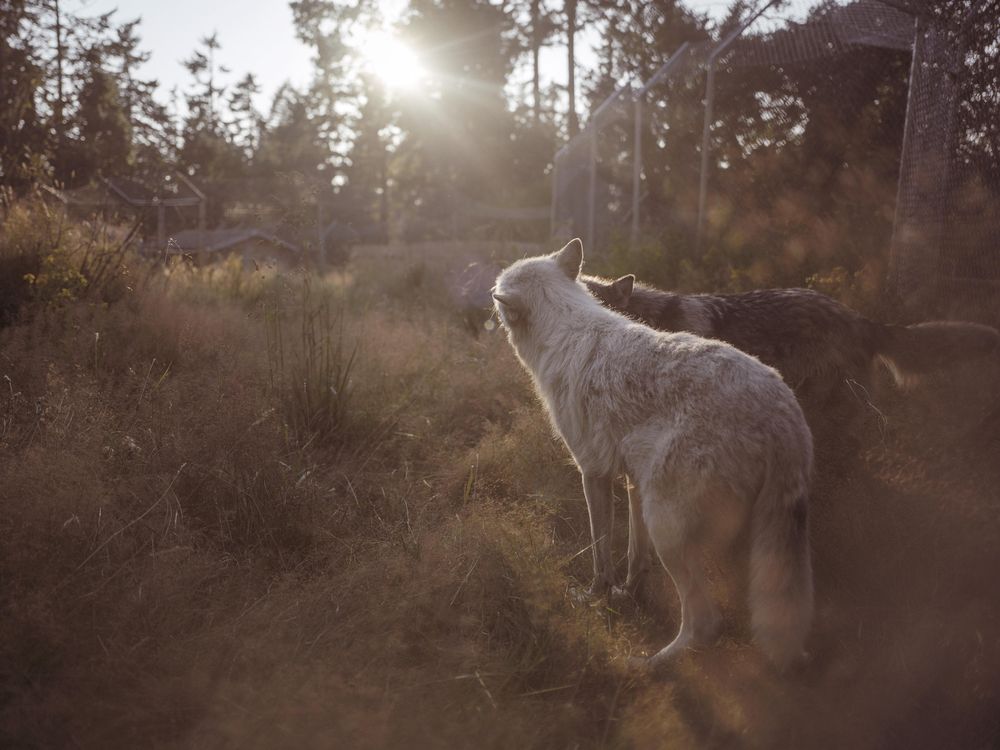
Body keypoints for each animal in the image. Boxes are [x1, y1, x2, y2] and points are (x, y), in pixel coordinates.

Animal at [493, 239, 814, 669]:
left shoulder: (593, 473)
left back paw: (652, 664)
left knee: (705, 623)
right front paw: (628, 594)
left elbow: (600, 554)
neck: (566, 328)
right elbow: (634, 557)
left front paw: (595, 597)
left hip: (668, 527)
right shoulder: (633, 483)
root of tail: (782, 413)